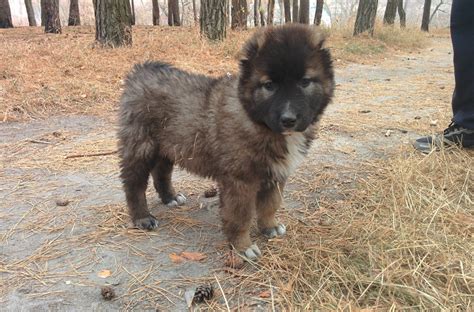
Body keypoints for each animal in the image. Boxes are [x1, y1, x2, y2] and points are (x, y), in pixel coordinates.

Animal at [118, 23, 334, 258]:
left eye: (304, 82)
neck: (255, 119)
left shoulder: (276, 174)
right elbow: (240, 216)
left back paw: (170, 198)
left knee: (161, 173)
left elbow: (270, 204)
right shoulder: (239, 181)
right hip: (140, 145)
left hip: (169, 145)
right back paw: (142, 217)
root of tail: (141, 70)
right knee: (133, 183)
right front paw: (243, 247)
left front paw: (269, 227)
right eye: (269, 85)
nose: (288, 119)